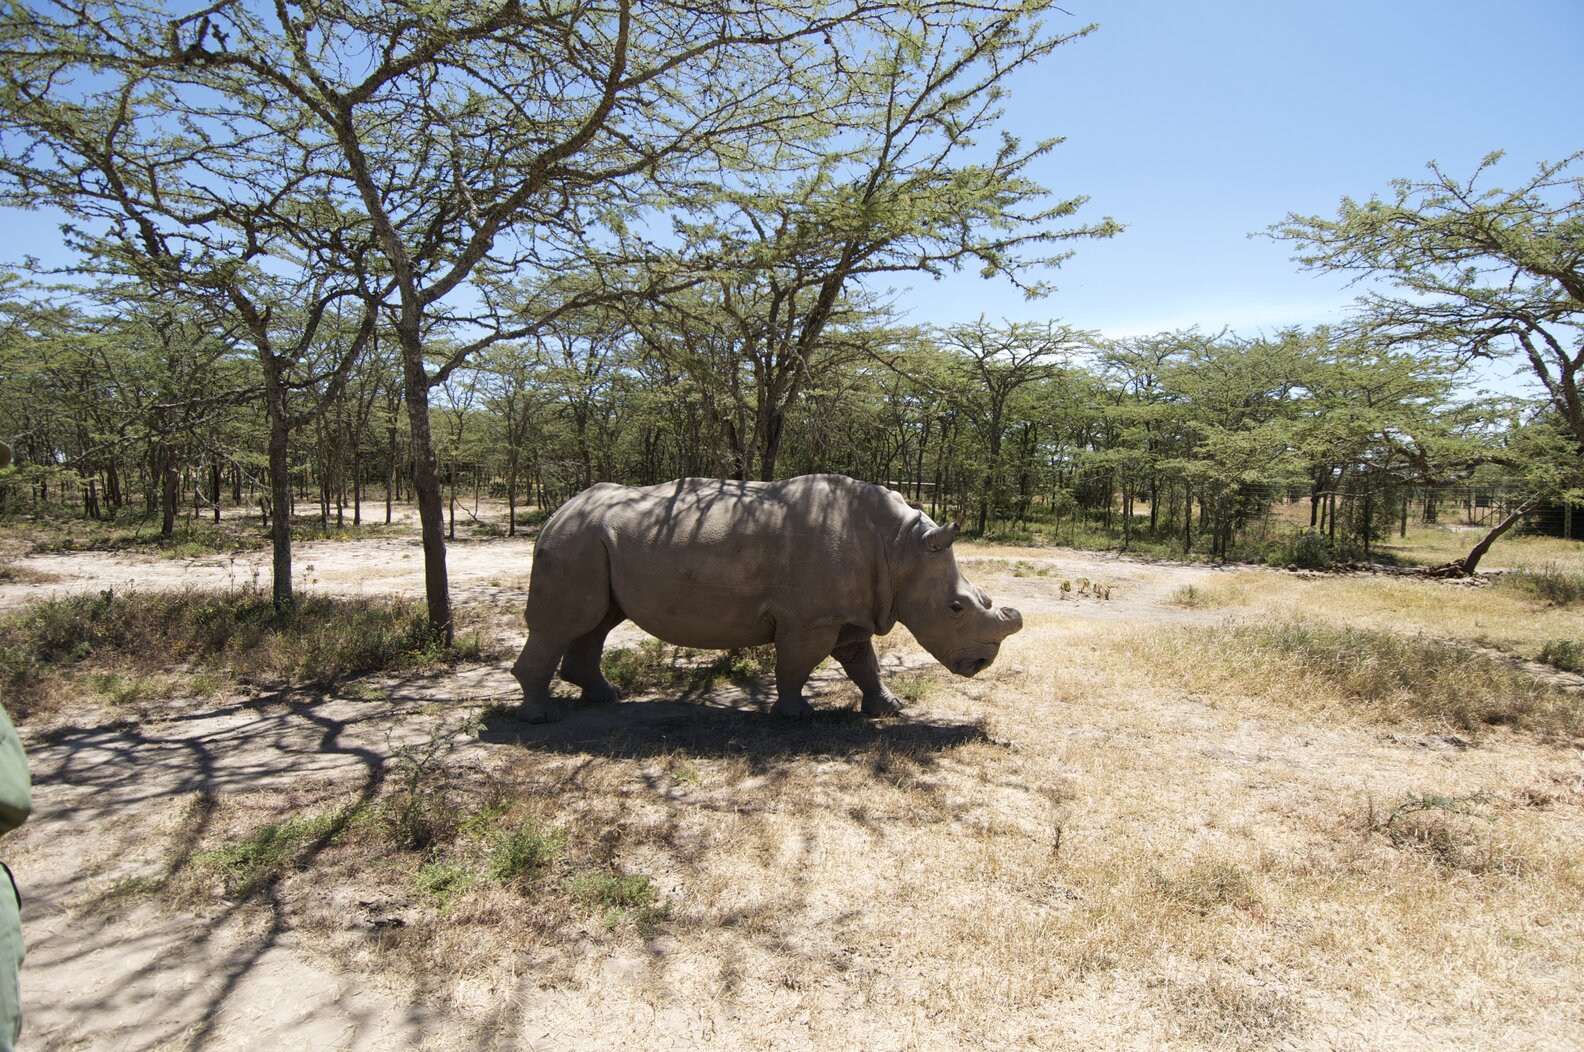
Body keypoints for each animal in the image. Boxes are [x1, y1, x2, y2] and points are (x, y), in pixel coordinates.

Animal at [511, 474, 1023, 723]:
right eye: (956, 607)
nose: (982, 664)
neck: (902, 549)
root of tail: (557, 513)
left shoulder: (849, 610)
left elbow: (863, 662)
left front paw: (889, 709)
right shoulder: (811, 618)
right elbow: (797, 664)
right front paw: (794, 717)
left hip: (591, 541)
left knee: (597, 622)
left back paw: (605, 699)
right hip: (574, 542)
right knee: (564, 625)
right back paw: (542, 720)